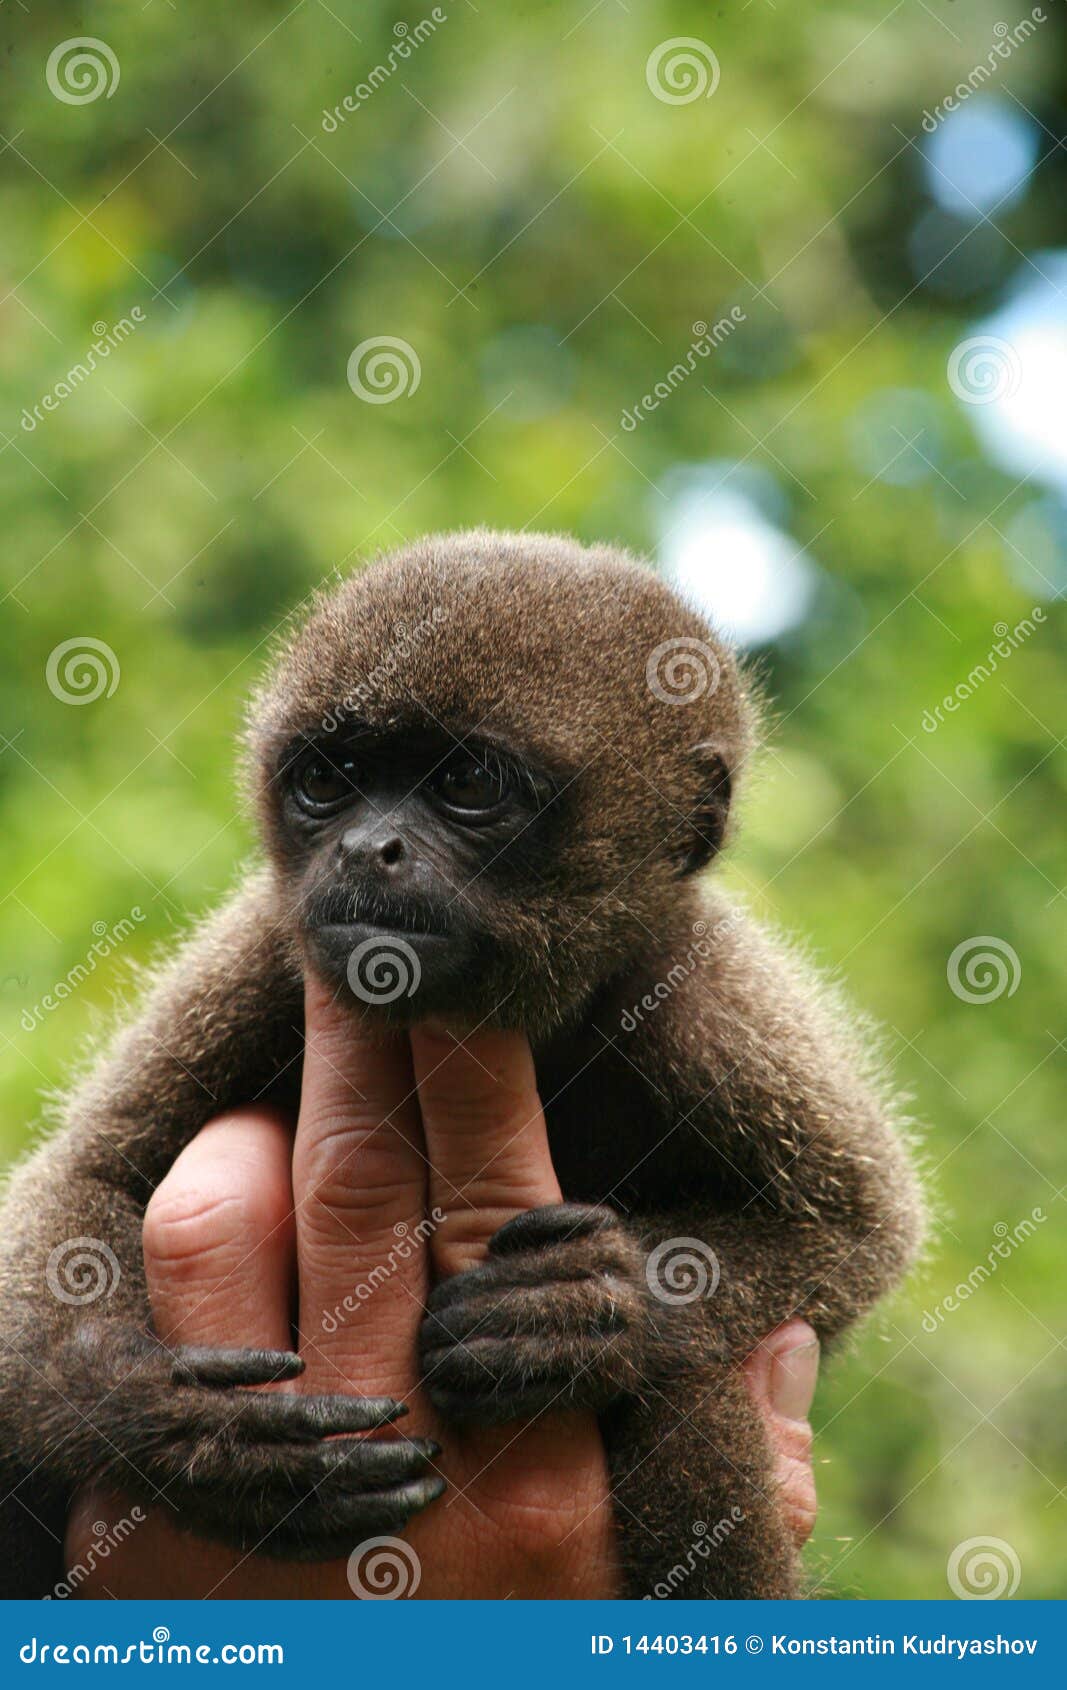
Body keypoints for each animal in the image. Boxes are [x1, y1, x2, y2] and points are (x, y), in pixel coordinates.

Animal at [0, 529, 924, 1599]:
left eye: (470, 785)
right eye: (329, 780)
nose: (367, 847)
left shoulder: (701, 995)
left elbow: (858, 1229)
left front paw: (590, 1305)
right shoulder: (269, 954)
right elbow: (87, 1176)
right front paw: (184, 1428)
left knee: (687, 1389)